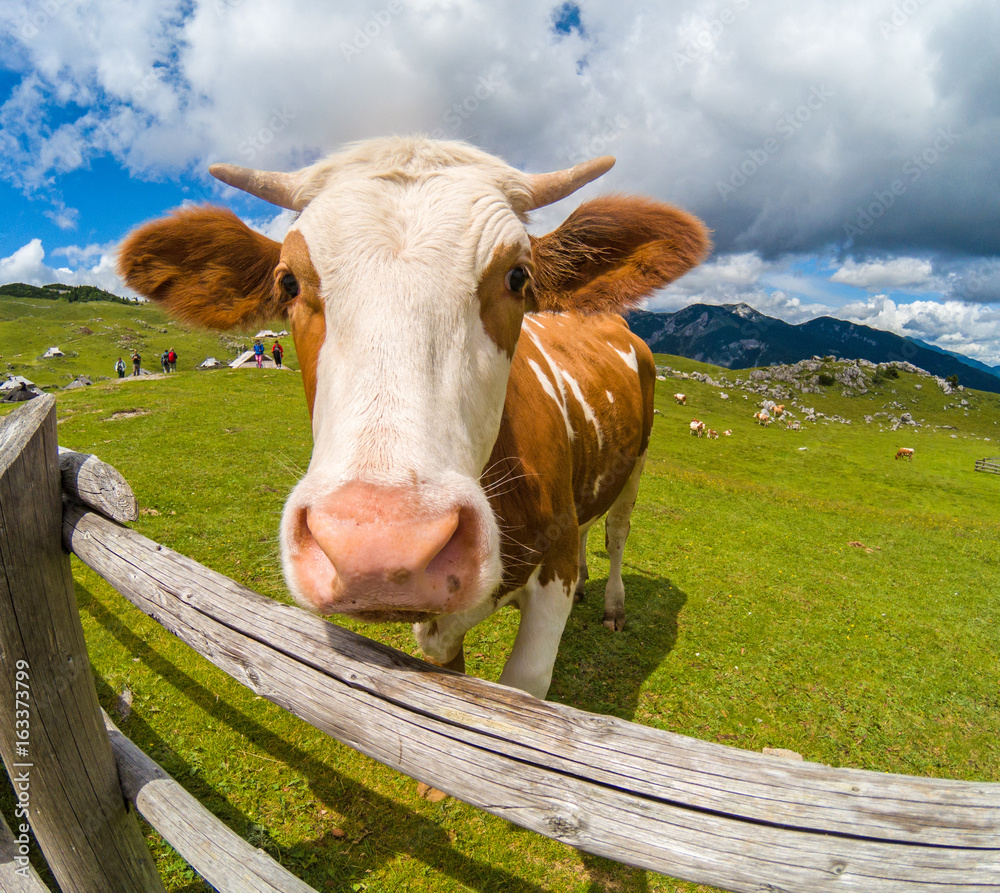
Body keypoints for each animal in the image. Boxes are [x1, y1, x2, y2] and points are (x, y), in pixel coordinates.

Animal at [117, 137, 710, 699]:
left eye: (518, 277)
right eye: (288, 282)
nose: (379, 551)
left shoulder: (552, 572)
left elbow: (524, 685)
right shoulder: (441, 629)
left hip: (636, 462)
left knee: (616, 530)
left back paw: (611, 604)